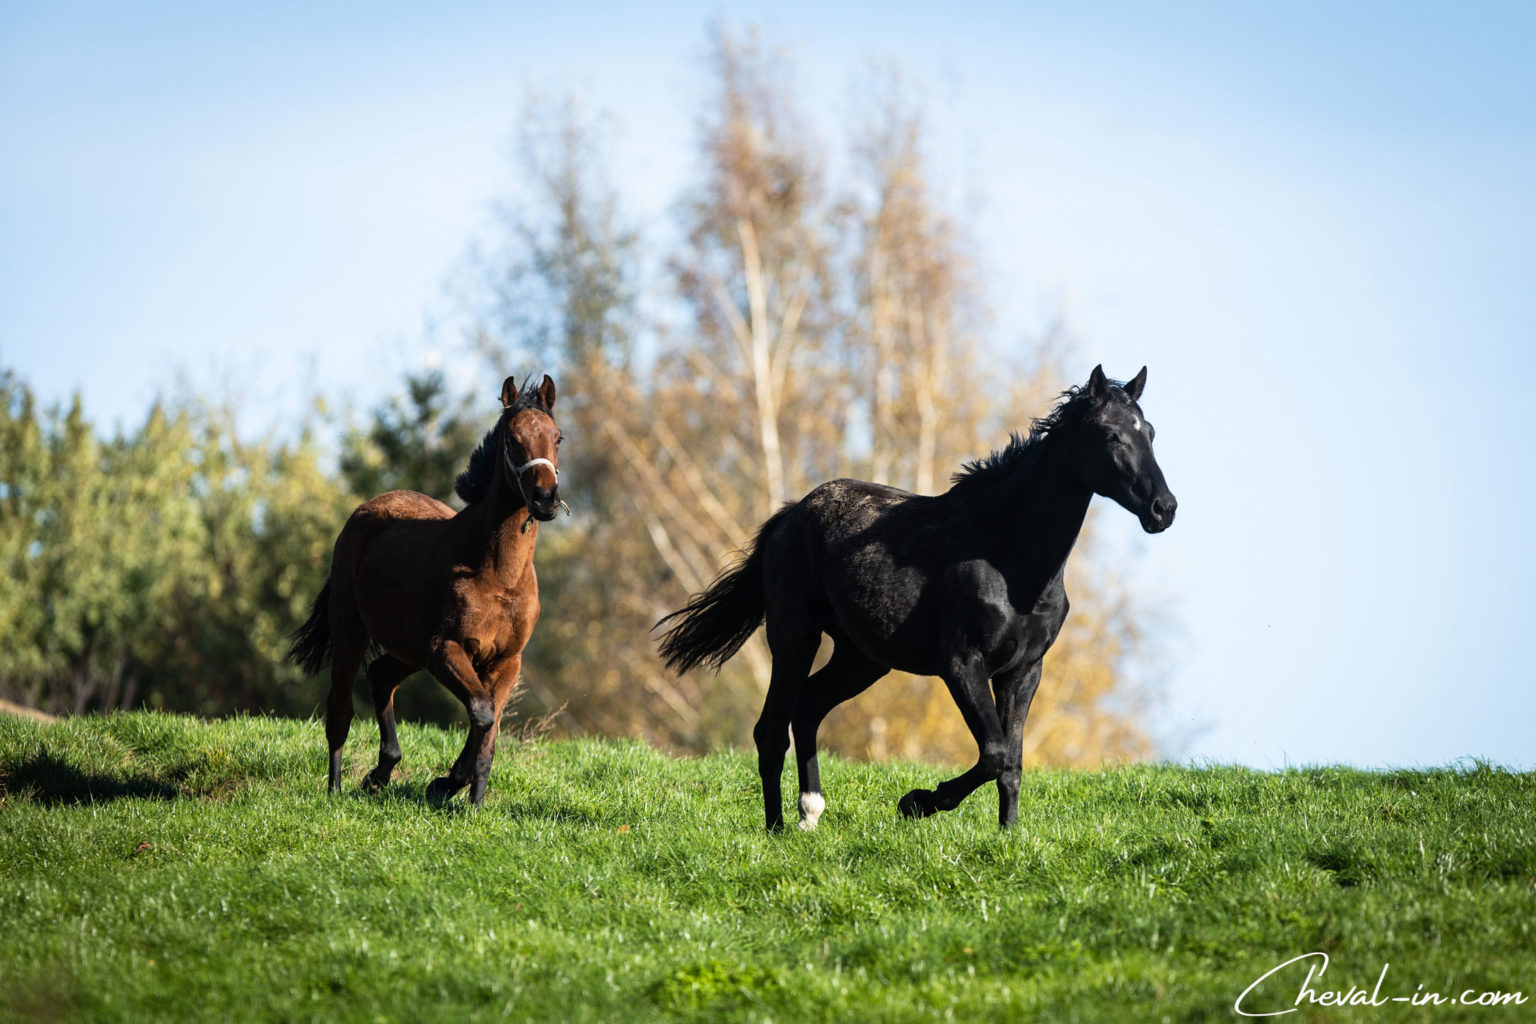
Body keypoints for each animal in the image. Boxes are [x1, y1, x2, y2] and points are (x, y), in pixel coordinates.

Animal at [288, 374, 565, 806]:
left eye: (557, 437)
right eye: (512, 439)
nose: (546, 499)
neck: (497, 576)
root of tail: (366, 510)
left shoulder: (506, 662)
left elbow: (489, 727)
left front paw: (469, 798)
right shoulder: (444, 650)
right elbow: (482, 713)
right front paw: (449, 783)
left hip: (409, 649)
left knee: (381, 676)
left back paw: (380, 774)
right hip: (352, 630)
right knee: (340, 710)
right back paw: (335, 789)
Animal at [656, 365, 1176, 831]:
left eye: (1150, 431)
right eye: (1111, 435)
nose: (1164, 509)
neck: (1008, 560)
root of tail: (790, 516)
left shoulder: (1025, 671)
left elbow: (1012, 763)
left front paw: (1008, 838)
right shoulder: (961, 663)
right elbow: (994, 753)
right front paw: (918, 802)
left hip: (862, 658)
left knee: (807, 708)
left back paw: (811, 813)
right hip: (794, 638)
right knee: (771, 730)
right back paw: (778, 828)